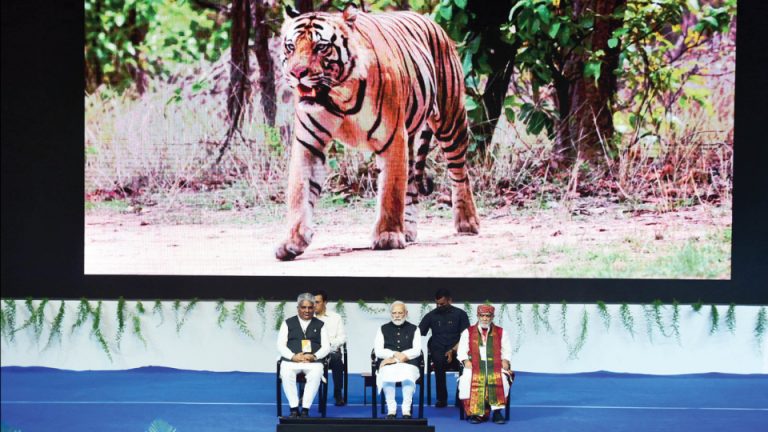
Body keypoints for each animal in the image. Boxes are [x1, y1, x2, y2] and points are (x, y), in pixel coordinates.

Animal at [275, 4, 479, 261]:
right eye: (290, 47)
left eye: (321, 47)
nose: (297, 72)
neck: (338, 96)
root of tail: (433, 22)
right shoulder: (308, 143)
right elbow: (299, 192)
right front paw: (293, 241)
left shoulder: (392, 138)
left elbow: (390, 189)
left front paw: (388, 236)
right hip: (412, 134)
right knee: (411, 183)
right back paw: (408, 230)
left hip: (450, 119)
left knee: (459, 171)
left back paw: (467, 222)